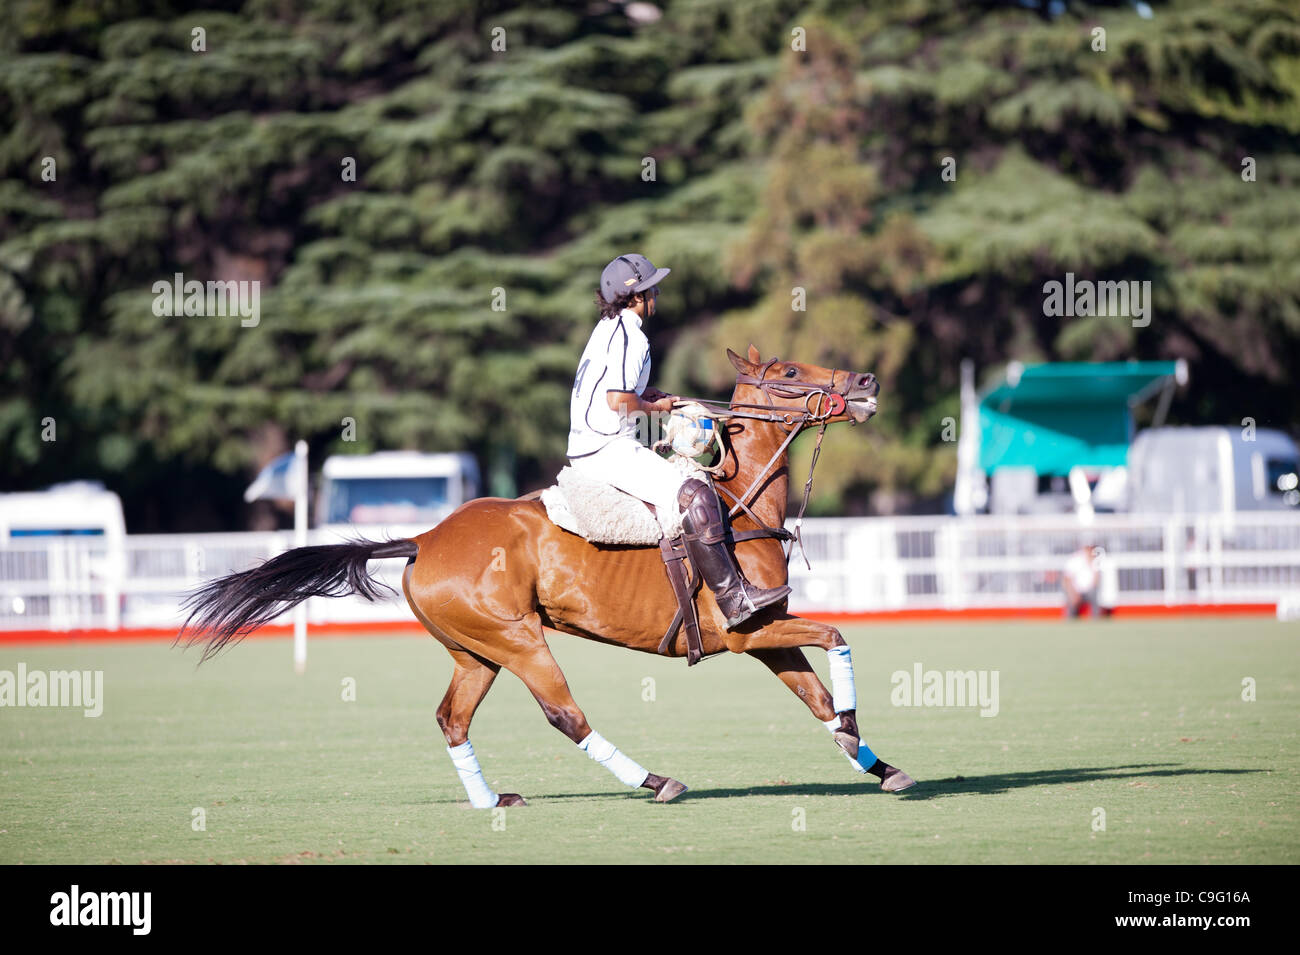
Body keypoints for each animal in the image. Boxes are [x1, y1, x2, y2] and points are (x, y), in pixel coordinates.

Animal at [179, 345, 916, 806]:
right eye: (790, 367)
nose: (868, 384)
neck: (738, 501)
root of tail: (424, 538)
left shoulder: (767, 629)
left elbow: (816, 698)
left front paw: (880, 764)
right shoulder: (743, 631)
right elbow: (838, 639)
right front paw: (856, 726)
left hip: (477, 648)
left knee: (451, 717)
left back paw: (490, 800)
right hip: (519, 639)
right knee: (564, 712)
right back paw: (654, 781)